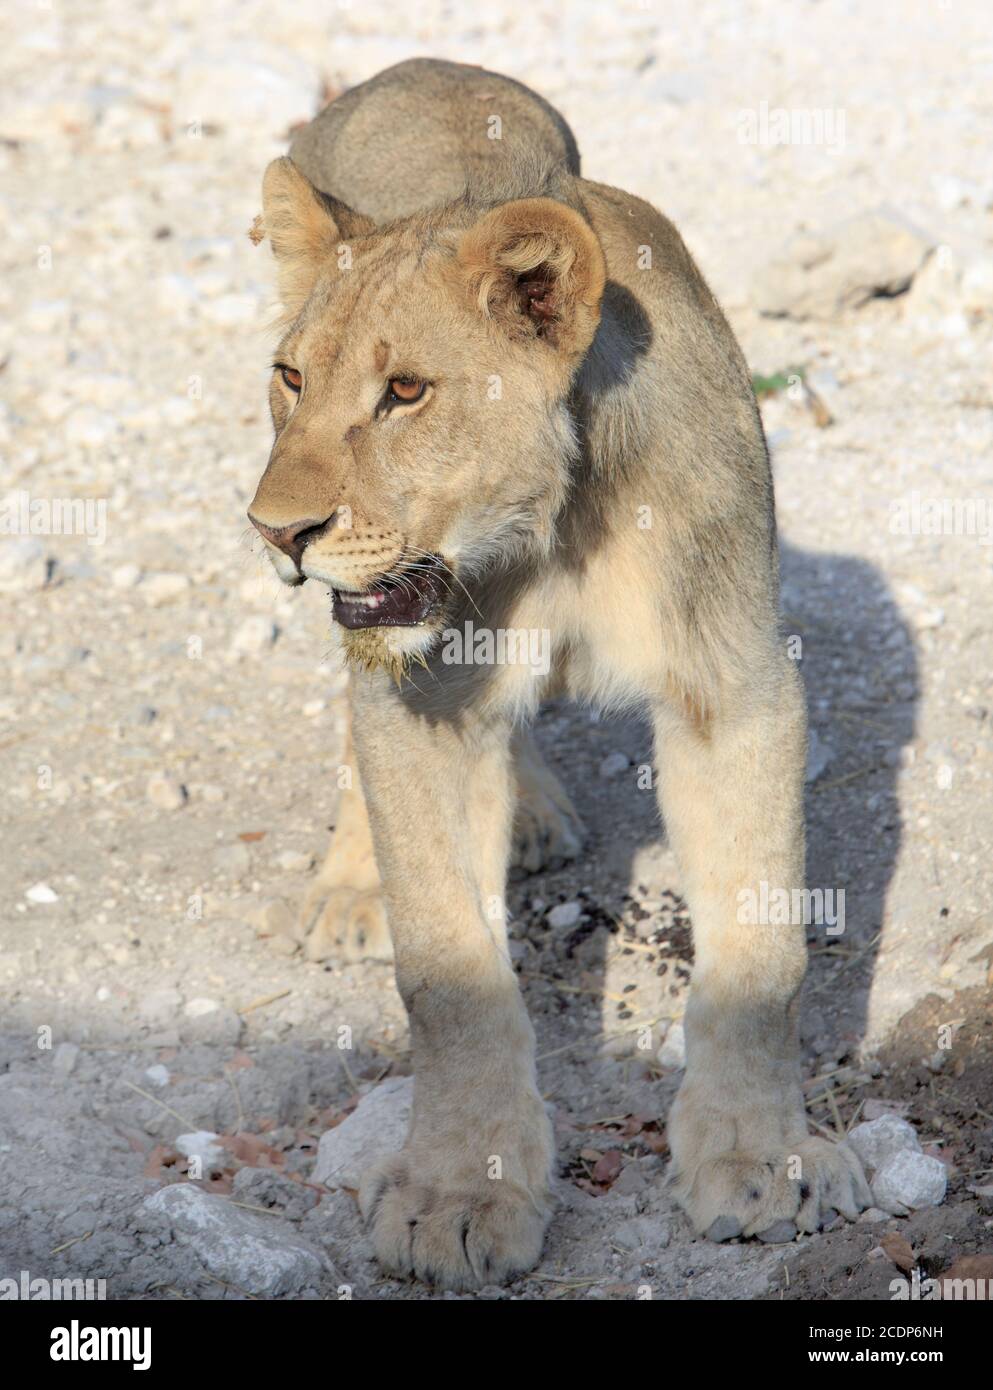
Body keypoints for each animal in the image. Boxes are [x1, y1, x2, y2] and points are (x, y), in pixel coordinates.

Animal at [248, 57, 871, 1291]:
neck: (546, 529)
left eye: (405, 392)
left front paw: (759, 1160)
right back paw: (353, 885)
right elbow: (448, 974)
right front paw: (459, 1193)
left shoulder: (733, 687)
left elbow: (760, 952)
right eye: (291, 377)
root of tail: (414, 68)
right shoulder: (423, 706)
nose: (277, 530)